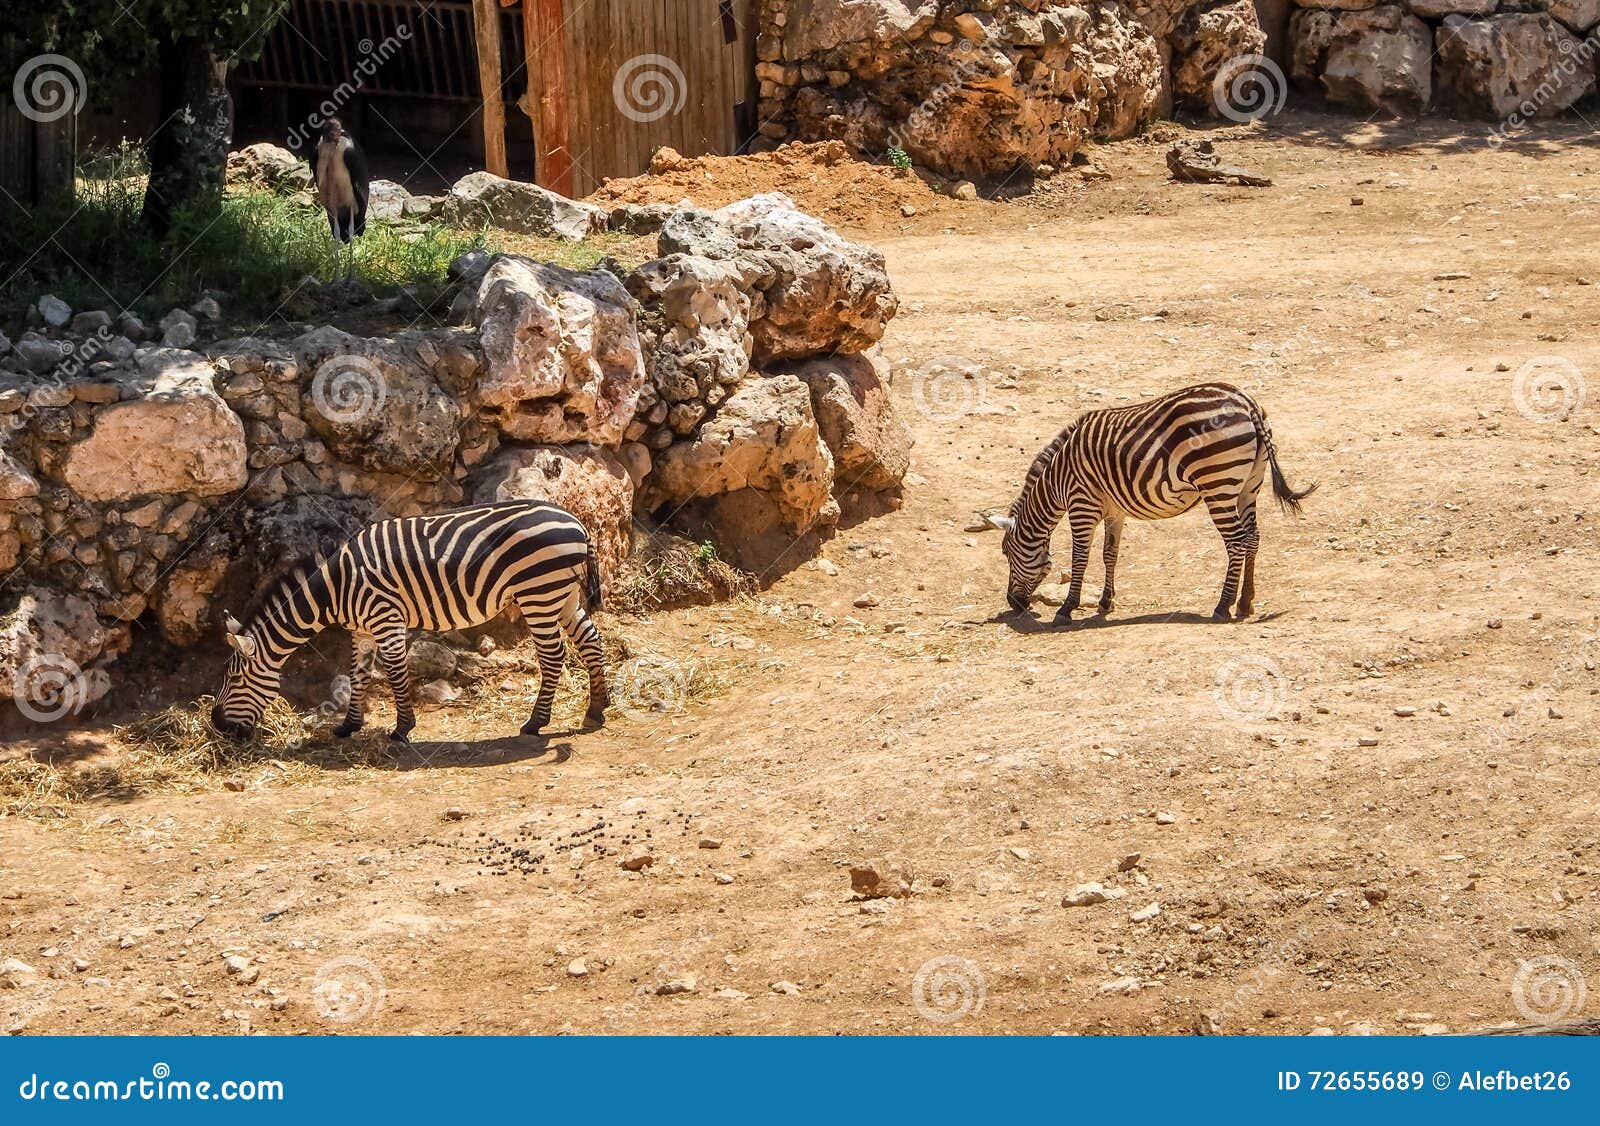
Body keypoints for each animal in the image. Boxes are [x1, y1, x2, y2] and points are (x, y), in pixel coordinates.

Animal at [210, 500, 609, 742]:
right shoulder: (361, 629)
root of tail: (576, 522)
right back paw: (596, 710)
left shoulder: (385, 617)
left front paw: (402, 729)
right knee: (591, 640)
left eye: (234, 679)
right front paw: (349, 725)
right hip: (562, 594)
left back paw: (536, 722)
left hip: (538, 593)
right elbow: (357, 673)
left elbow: (395, 672)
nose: (216, 724)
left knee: (553, 657)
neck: (335, 589)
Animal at [986, 382, 1315, 620]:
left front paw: (1067, 608)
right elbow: (1110, 554)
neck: (1057, 480)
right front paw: (1105, 602)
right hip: (1249, 484)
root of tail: (1246, 402)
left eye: (1006, 553)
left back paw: (1223, 606)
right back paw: (1246, 603)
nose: (1014, 604)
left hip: (1217, 484)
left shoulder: (1082, 503)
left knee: (1236, 541)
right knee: (1253, 538)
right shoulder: (1113, 509)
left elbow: (1080, 557)